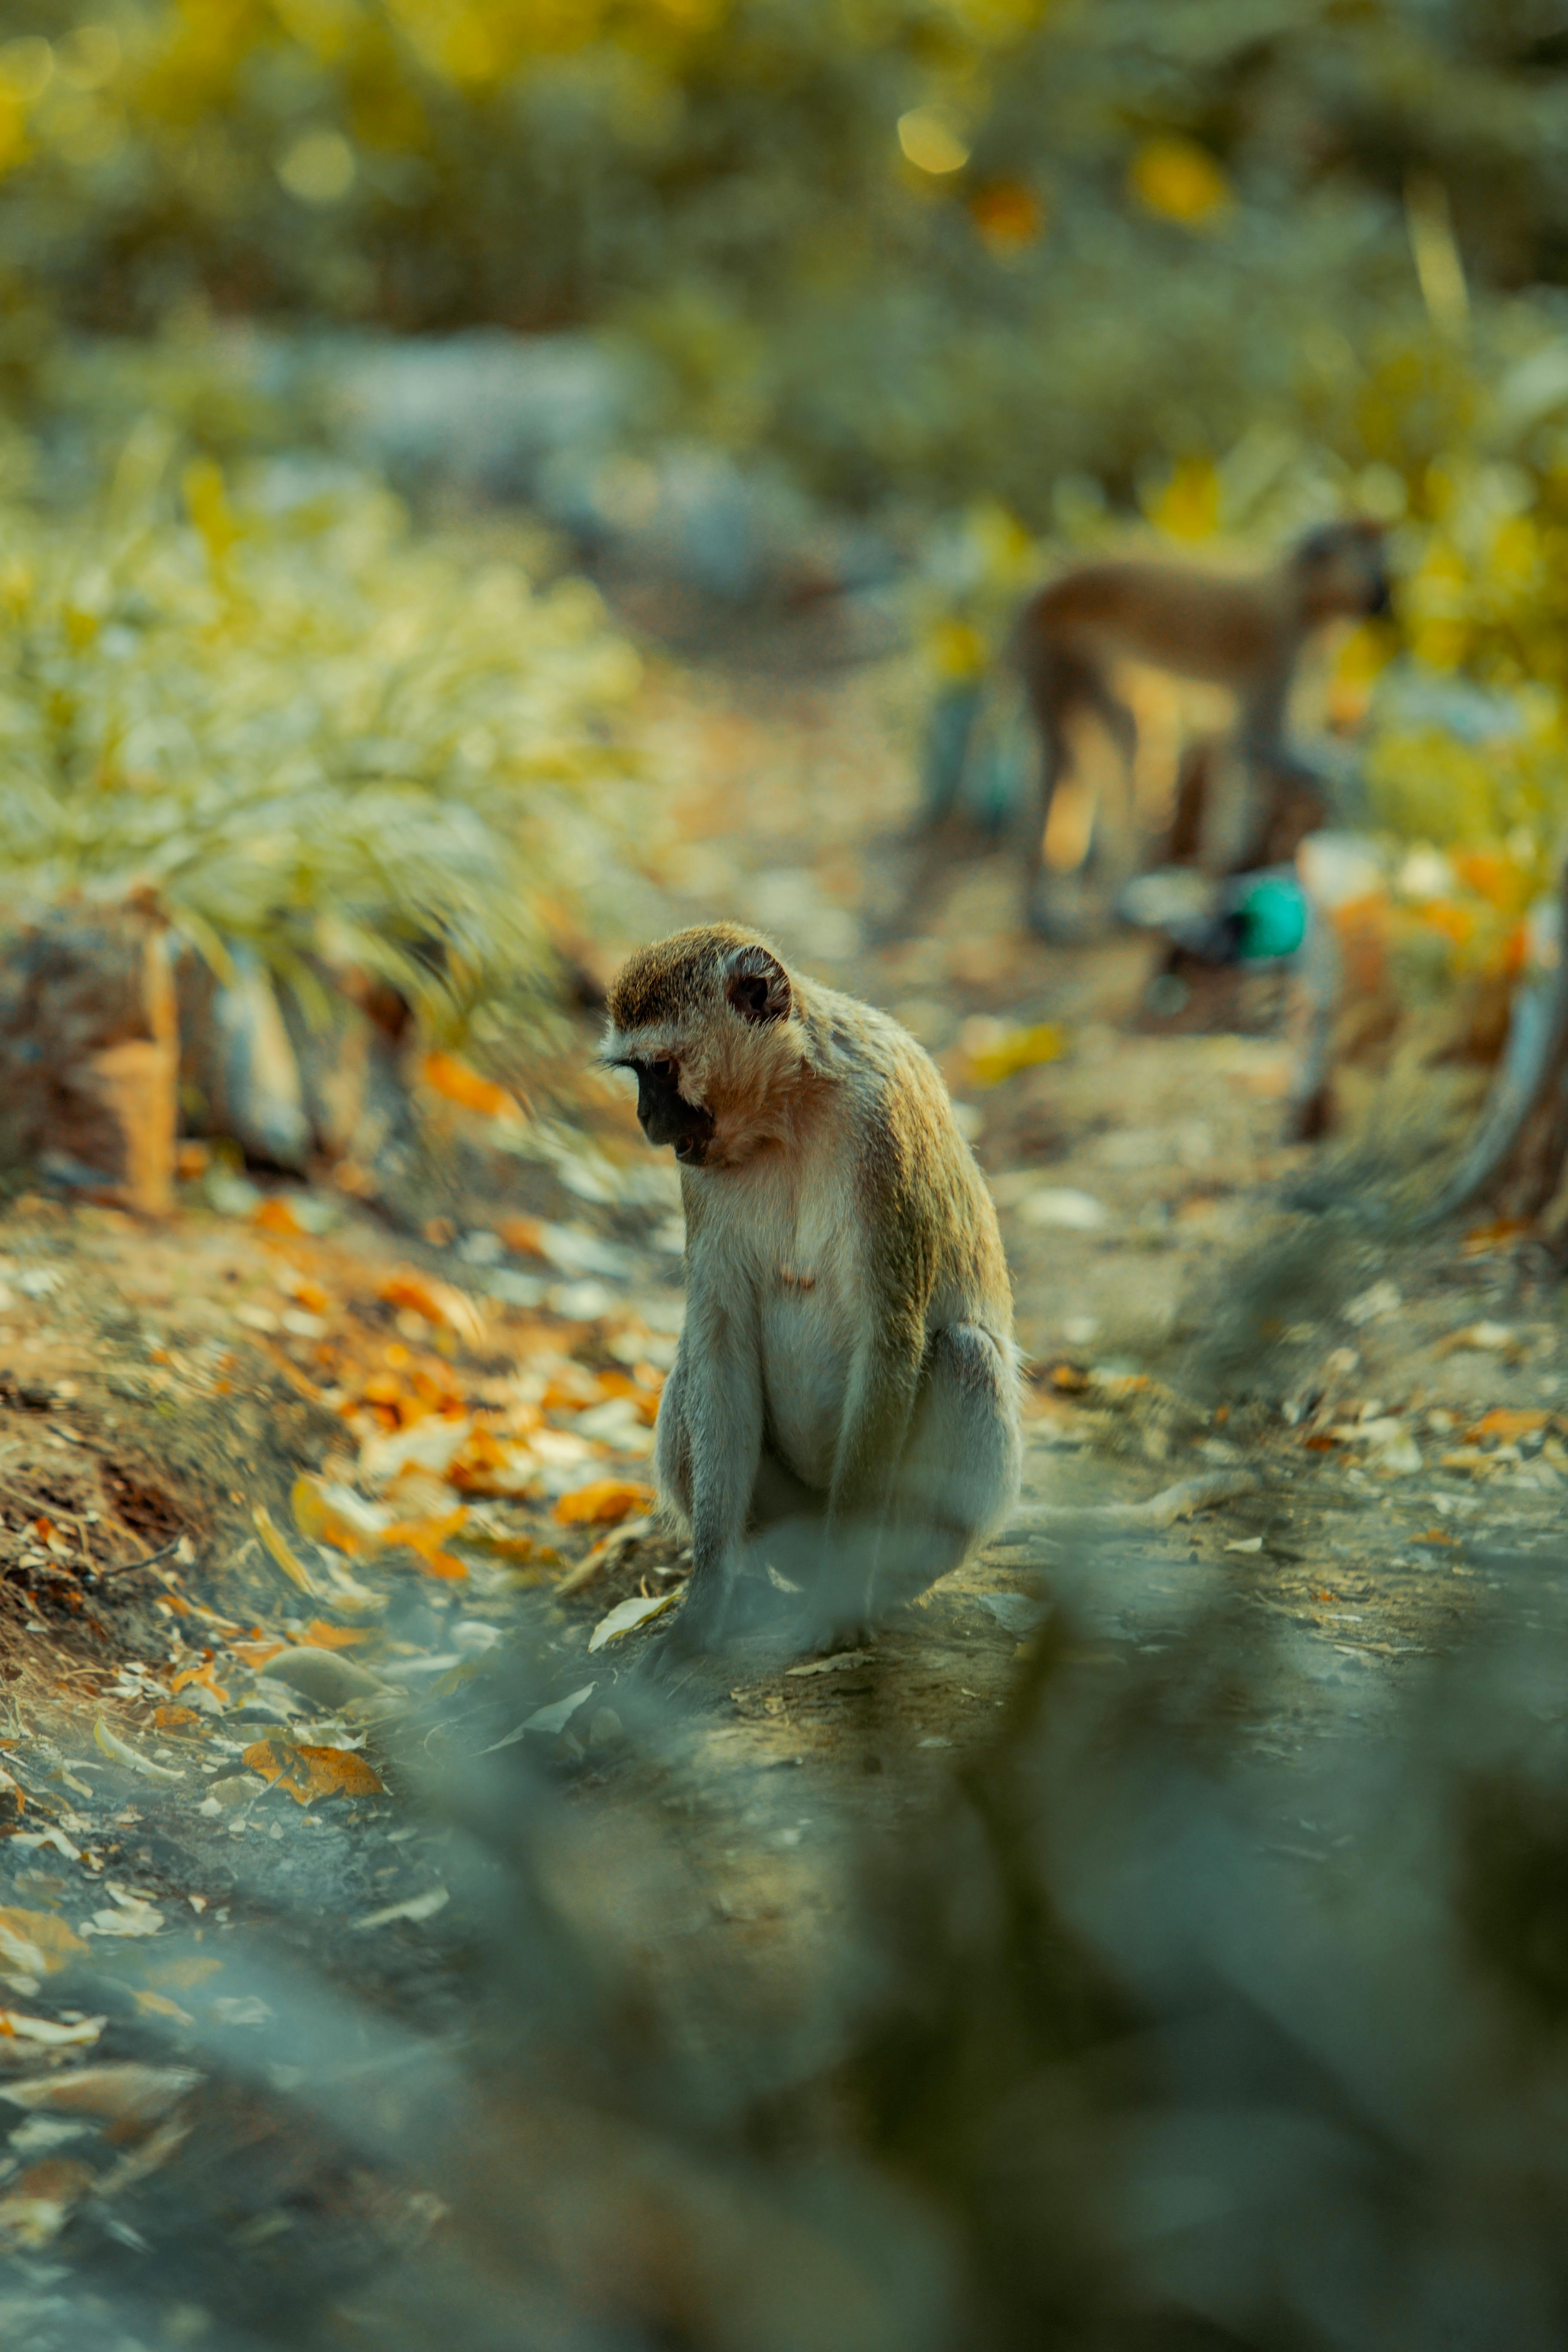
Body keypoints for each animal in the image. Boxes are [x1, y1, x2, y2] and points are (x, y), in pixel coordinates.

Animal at [601, 923, 1021, 1663]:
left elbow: (891, 1336)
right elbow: (720, 1346)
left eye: (661, 1070)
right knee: (692, 1368)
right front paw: (705, 1605)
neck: (791, 1107)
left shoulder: (885, 1131)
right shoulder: (700, 1173)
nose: (647, 1119)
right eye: (637, 1075)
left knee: (965, 1352)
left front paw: (837, 1606)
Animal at [1011, 518, 1390, 933]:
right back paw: (1069, 903)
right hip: (1053, 650)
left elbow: (1240, 751)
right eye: (1372, 568)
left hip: (1064, 659)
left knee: (1093, 748)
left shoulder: (1309, 658)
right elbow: (1261, 743)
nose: (1385, 597)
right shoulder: (1282, 644)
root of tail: (1043, 588)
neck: (1307, 598)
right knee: (1090, 750)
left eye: (1385, 565)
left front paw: (1226, 873)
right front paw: (1363, 784)